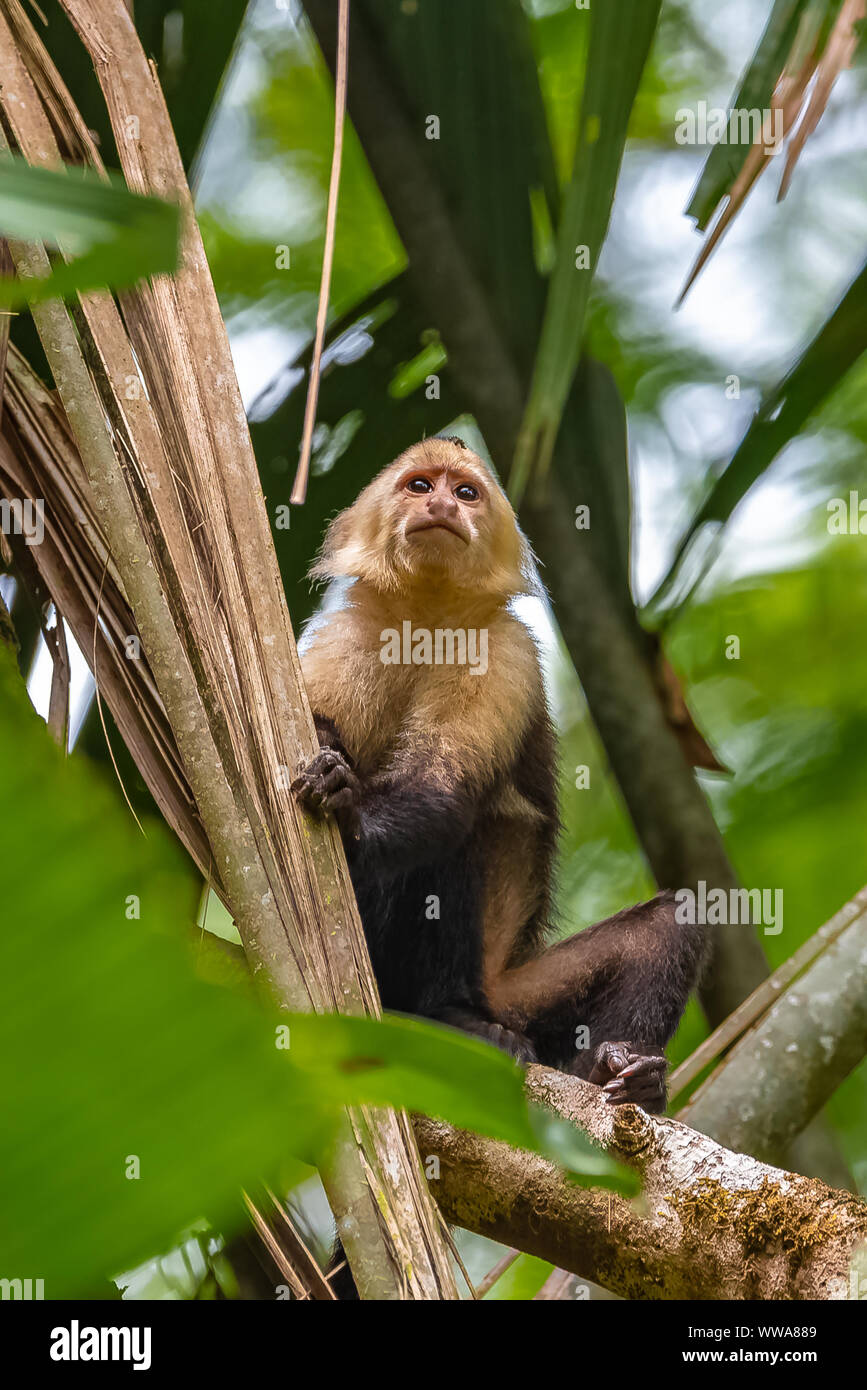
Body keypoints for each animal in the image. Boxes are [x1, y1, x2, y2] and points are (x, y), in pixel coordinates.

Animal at [292, 435, 707, 1112]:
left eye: (465, 493)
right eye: (419, 485)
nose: (440, 504)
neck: (426, 622)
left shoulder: (503, 652)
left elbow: (441, 793)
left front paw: (349, 817)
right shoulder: (345, 637)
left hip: (505, 994)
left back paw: (611, 1073)